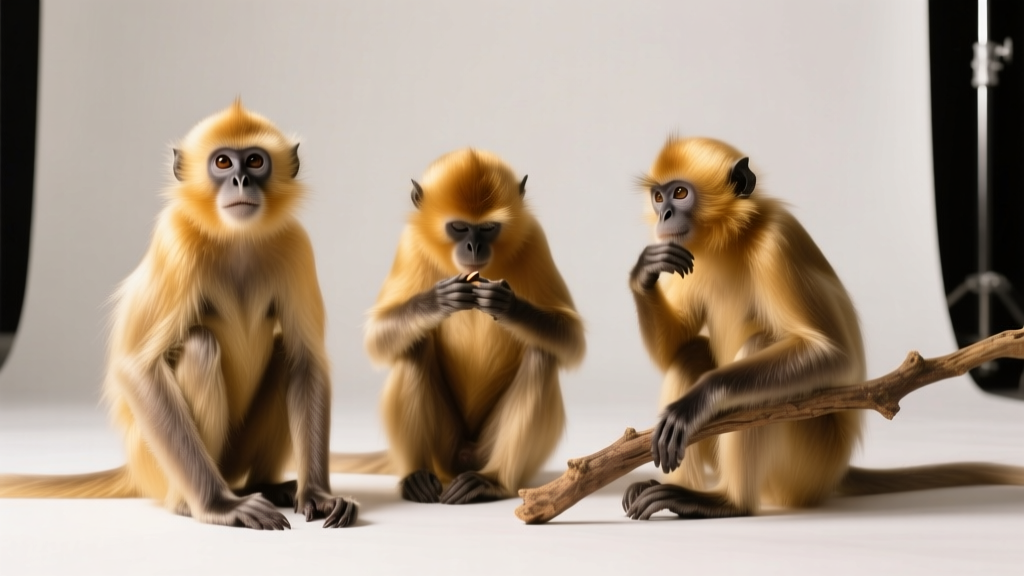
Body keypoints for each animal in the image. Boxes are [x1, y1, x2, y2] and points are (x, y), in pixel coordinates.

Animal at [0, 101, 357, 529]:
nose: (240, 180)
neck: (237, 239)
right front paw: (221, 507)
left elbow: (306, 360)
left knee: (285, 351)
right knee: (201, 346)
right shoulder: (177, 239)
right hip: (157, 463)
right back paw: (194, 503)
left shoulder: (295, 244)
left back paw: (266, 485)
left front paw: (318, 494)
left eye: (255, 160)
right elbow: (137, 369)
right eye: (222, 161)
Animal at [341, 149, 585, 504]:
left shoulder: (534, 238)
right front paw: (438, 301)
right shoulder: (410, 243)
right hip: (445, 451)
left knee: (542, 355)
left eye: (488, 228)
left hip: (486, 449)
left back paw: (491, 480)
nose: (474, 247)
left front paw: (506, 305)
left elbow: (572, 340)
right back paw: (416, 476)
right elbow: (377, 338)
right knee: (413, 348)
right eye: (459, 227)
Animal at [621, 136, 1024, 520]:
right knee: (690, 354)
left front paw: (694, 404)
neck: (734, 237)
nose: (664, 215)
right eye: (658, 197)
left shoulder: (776, 243)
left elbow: (833, 356)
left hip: (808, 462)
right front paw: (644, 271)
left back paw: (727, 502)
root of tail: (836, 471)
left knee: (759, 345)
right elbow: (675, 348)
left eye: (680, 193)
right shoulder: (688, 254)